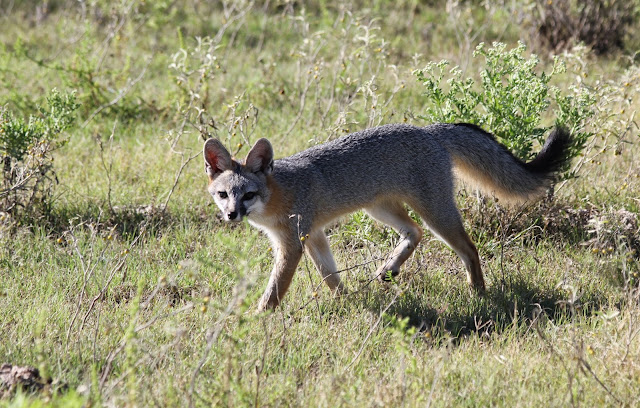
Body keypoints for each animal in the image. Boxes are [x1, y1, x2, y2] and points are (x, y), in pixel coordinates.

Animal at [203, 123, 571, 311]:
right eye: (223, 195)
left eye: (248, 195)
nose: (232, 215)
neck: (280, 191)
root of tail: (430, 130)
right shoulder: (315, 235)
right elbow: (331, 276)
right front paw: (347, 302)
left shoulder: (292, 244)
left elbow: (274, 290)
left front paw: (256, 319)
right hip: (380, 209)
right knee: (415, 232)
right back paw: (389, 269)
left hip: (436, 214)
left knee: (469, 248)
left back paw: (479, 293)